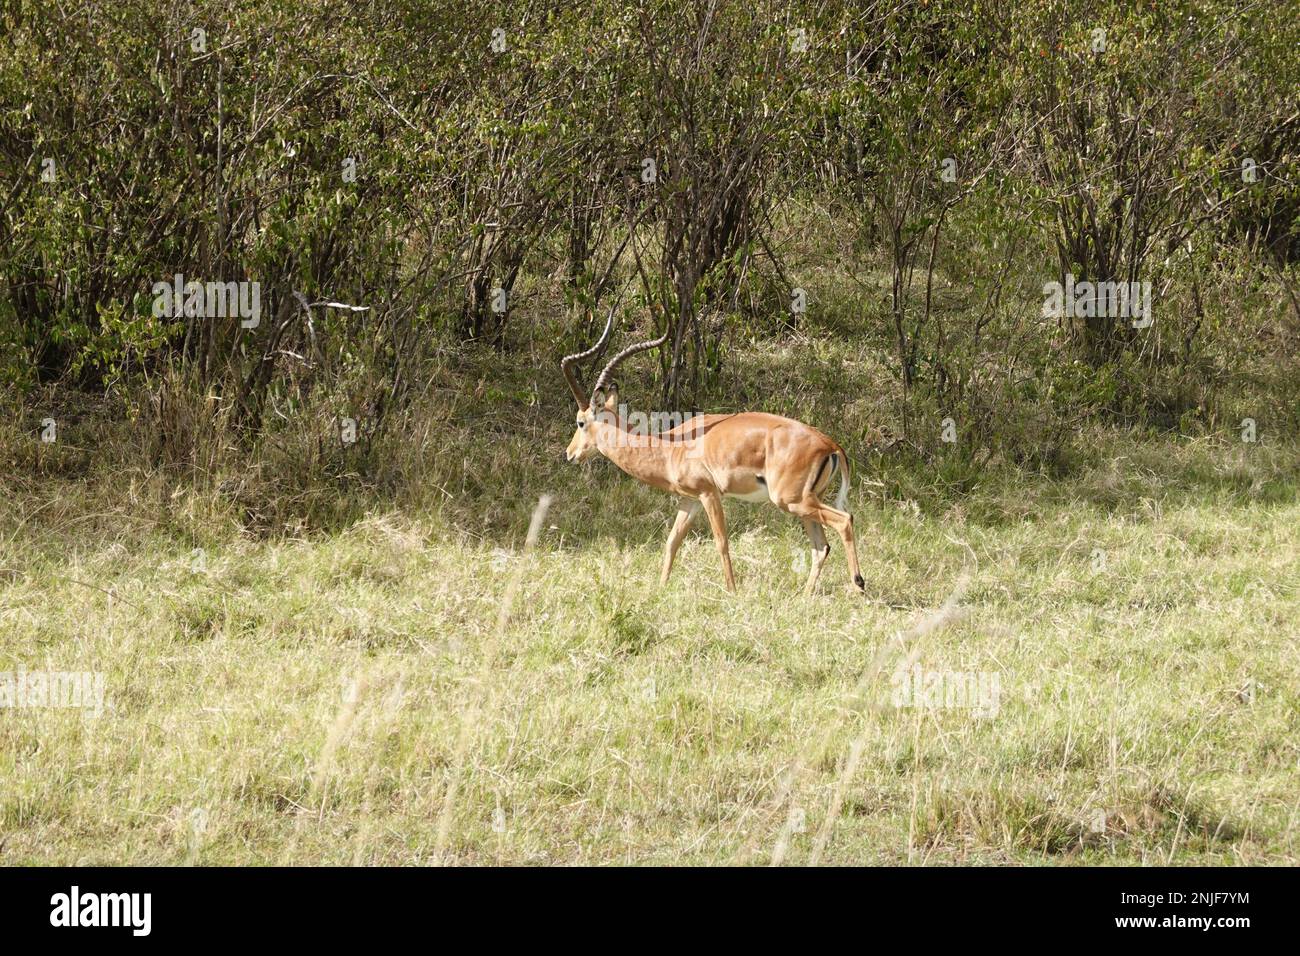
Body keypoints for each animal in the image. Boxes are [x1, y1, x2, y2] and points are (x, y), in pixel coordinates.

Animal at [561, 312, 865, 595]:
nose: (569, 454)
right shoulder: (690, 500)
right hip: (804, 503)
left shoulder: (709, 494)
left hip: (792, 500)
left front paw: (732, 591)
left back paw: (859, 585)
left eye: (580, 421)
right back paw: (805, 597)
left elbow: (721, 542)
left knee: (845, 521)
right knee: (821, 547)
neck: (670, 448)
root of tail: (829, 444)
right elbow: (672, 541)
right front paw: (661, 588)